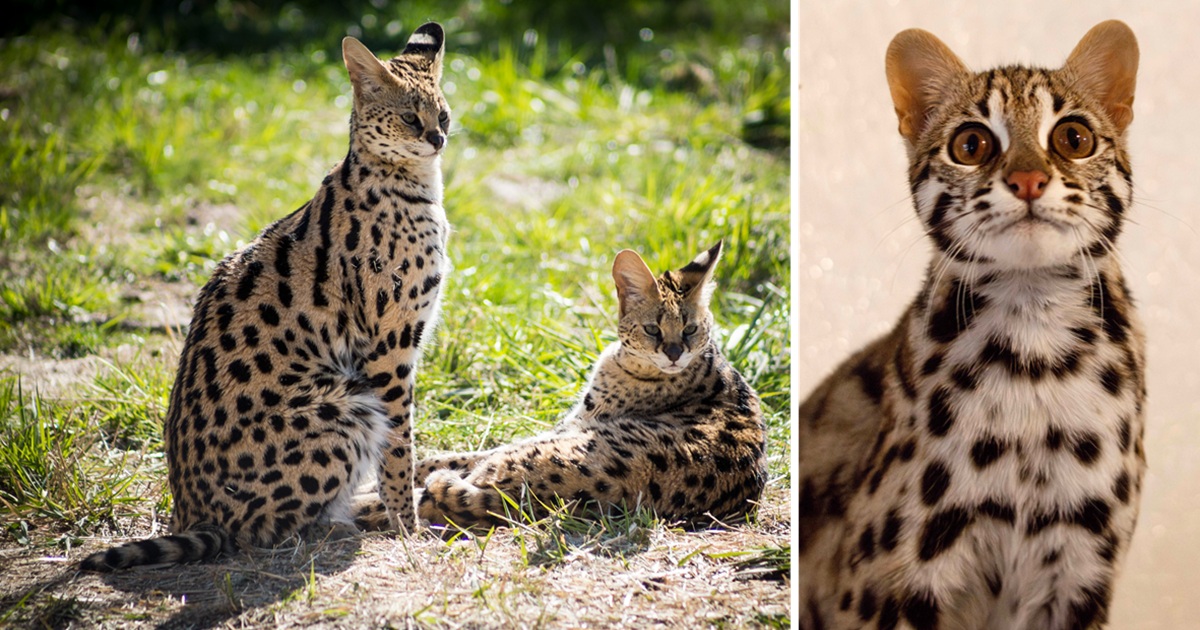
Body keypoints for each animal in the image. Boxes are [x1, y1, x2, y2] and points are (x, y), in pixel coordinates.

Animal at [81, 22, 452, 571]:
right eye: (410, 117)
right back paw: (346, 523)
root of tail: (191, 514)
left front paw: (407, 519)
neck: (412, 185)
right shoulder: (390, 349)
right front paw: (409, 527)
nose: (438, 139)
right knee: (262, 531)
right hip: (346, 405)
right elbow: (399, 448)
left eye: (443, 114)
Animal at [351, 241, 768, 529]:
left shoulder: (571, 426)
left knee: (425, 500)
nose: (675, 354)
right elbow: (453, 456)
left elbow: (449, 465)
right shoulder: (565, 425)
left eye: (691, 329)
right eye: (653, 329)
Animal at [796, 21, 1145, 630]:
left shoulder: (1083, 573)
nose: (1028, 180)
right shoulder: (895, 578)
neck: (1036, 353)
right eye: (971, 145)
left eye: (1074, 138)